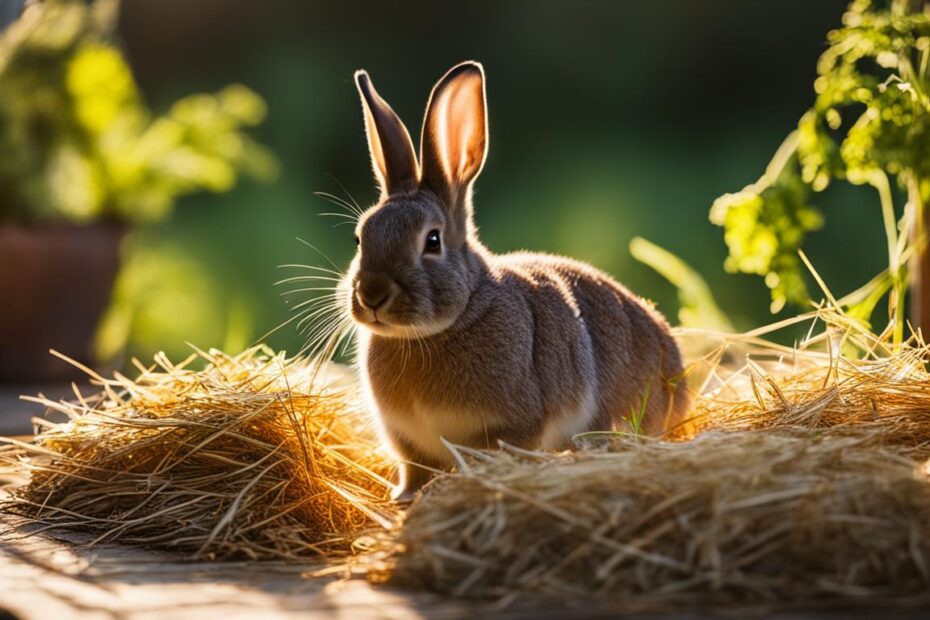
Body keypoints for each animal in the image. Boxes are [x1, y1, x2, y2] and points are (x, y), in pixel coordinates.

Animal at [343, 61, 689, 502]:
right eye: (359, 238)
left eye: (432, 241)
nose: (371, 294)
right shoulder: (407, 441)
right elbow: (414, 470)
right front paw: (404, 498)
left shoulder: (515, 423)